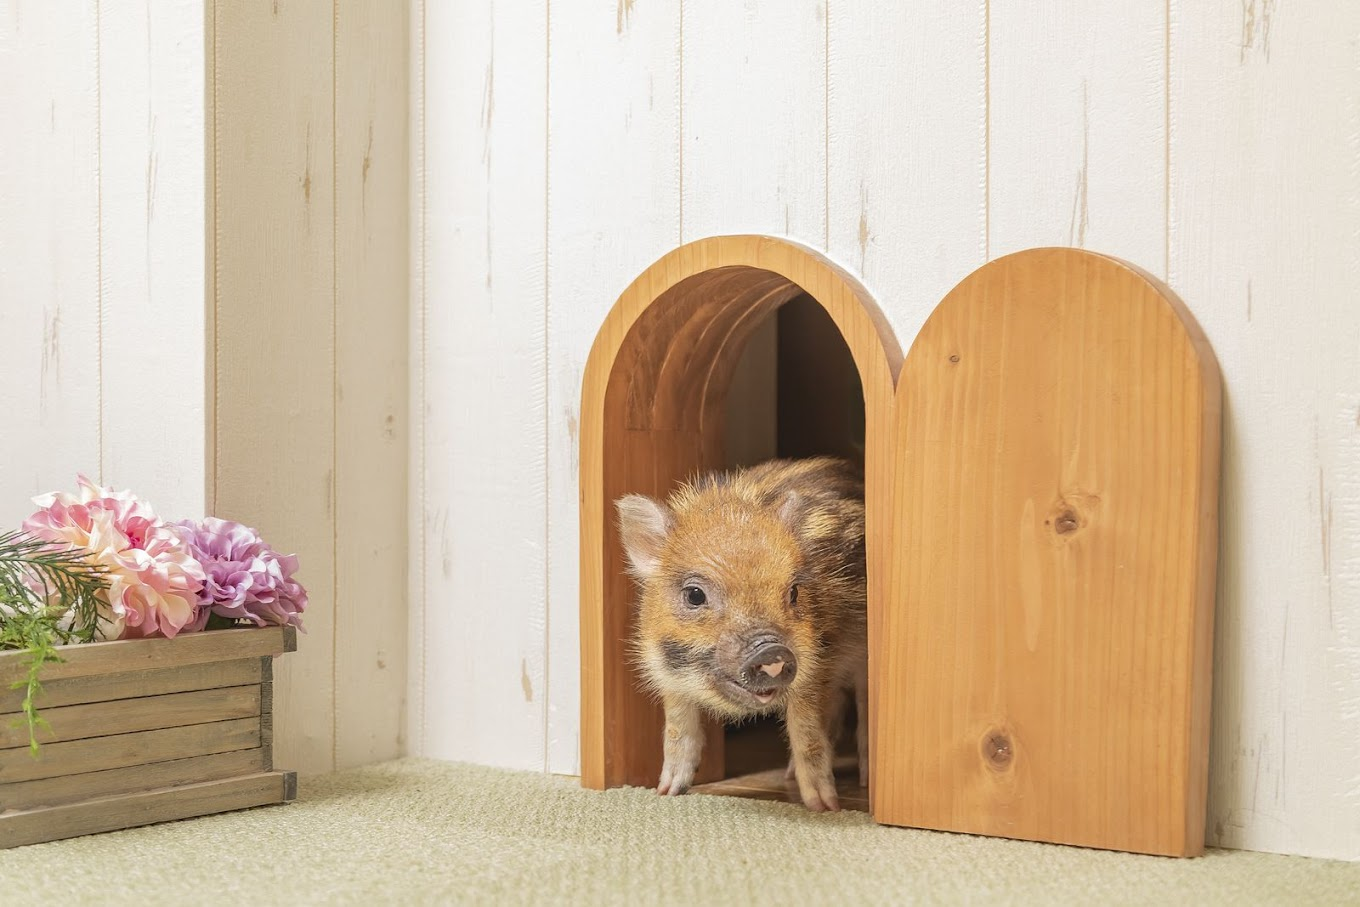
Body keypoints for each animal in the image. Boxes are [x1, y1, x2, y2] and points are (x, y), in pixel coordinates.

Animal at [615, 456, 868, 812]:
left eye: (793, 592)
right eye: (694, 595)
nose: (771, 650)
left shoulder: (815, 669)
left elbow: (807, 734)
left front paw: (824, 807)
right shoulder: (664, 671)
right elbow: (678, 727)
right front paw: (667, 791)